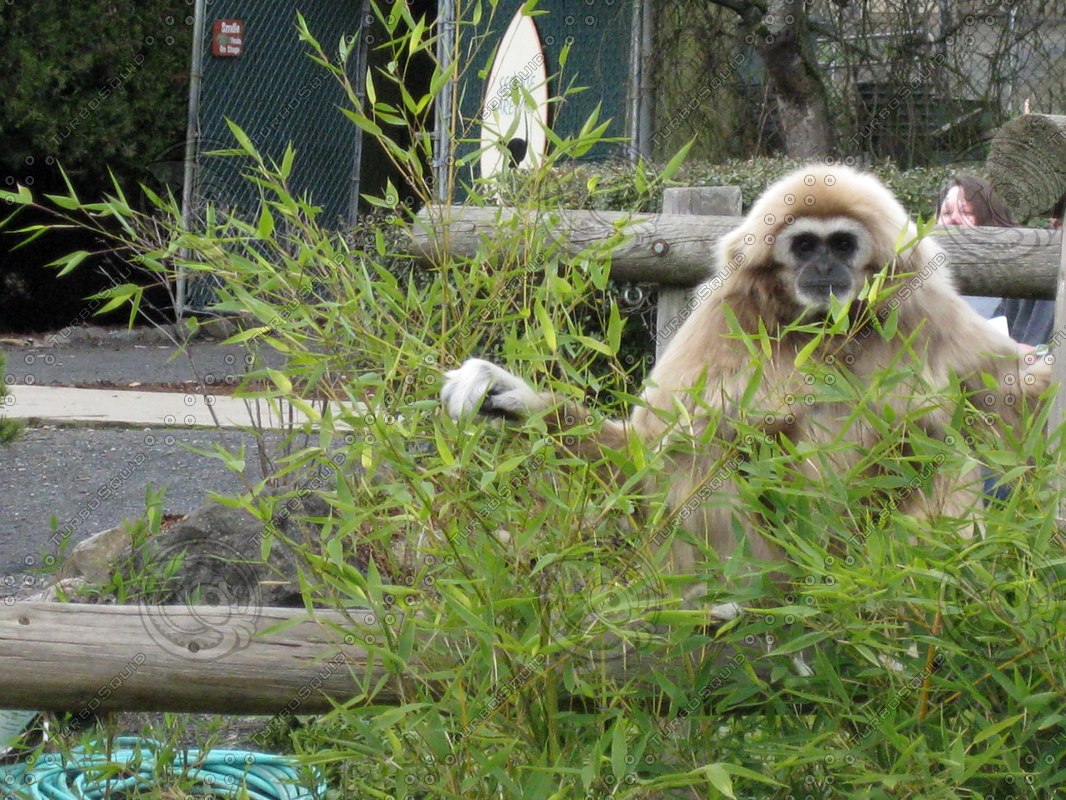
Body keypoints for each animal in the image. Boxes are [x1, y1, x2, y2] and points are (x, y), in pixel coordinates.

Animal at [441, 163, 1052, 605]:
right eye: (804, 246)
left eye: (842, 244)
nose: (824, 267)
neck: (823, 333)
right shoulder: (723, 318)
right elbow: (646, 450)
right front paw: (510, 397)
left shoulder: (924, 307)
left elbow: (1011, 396)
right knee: (701, 451)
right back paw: (734, 595)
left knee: (936, 443)